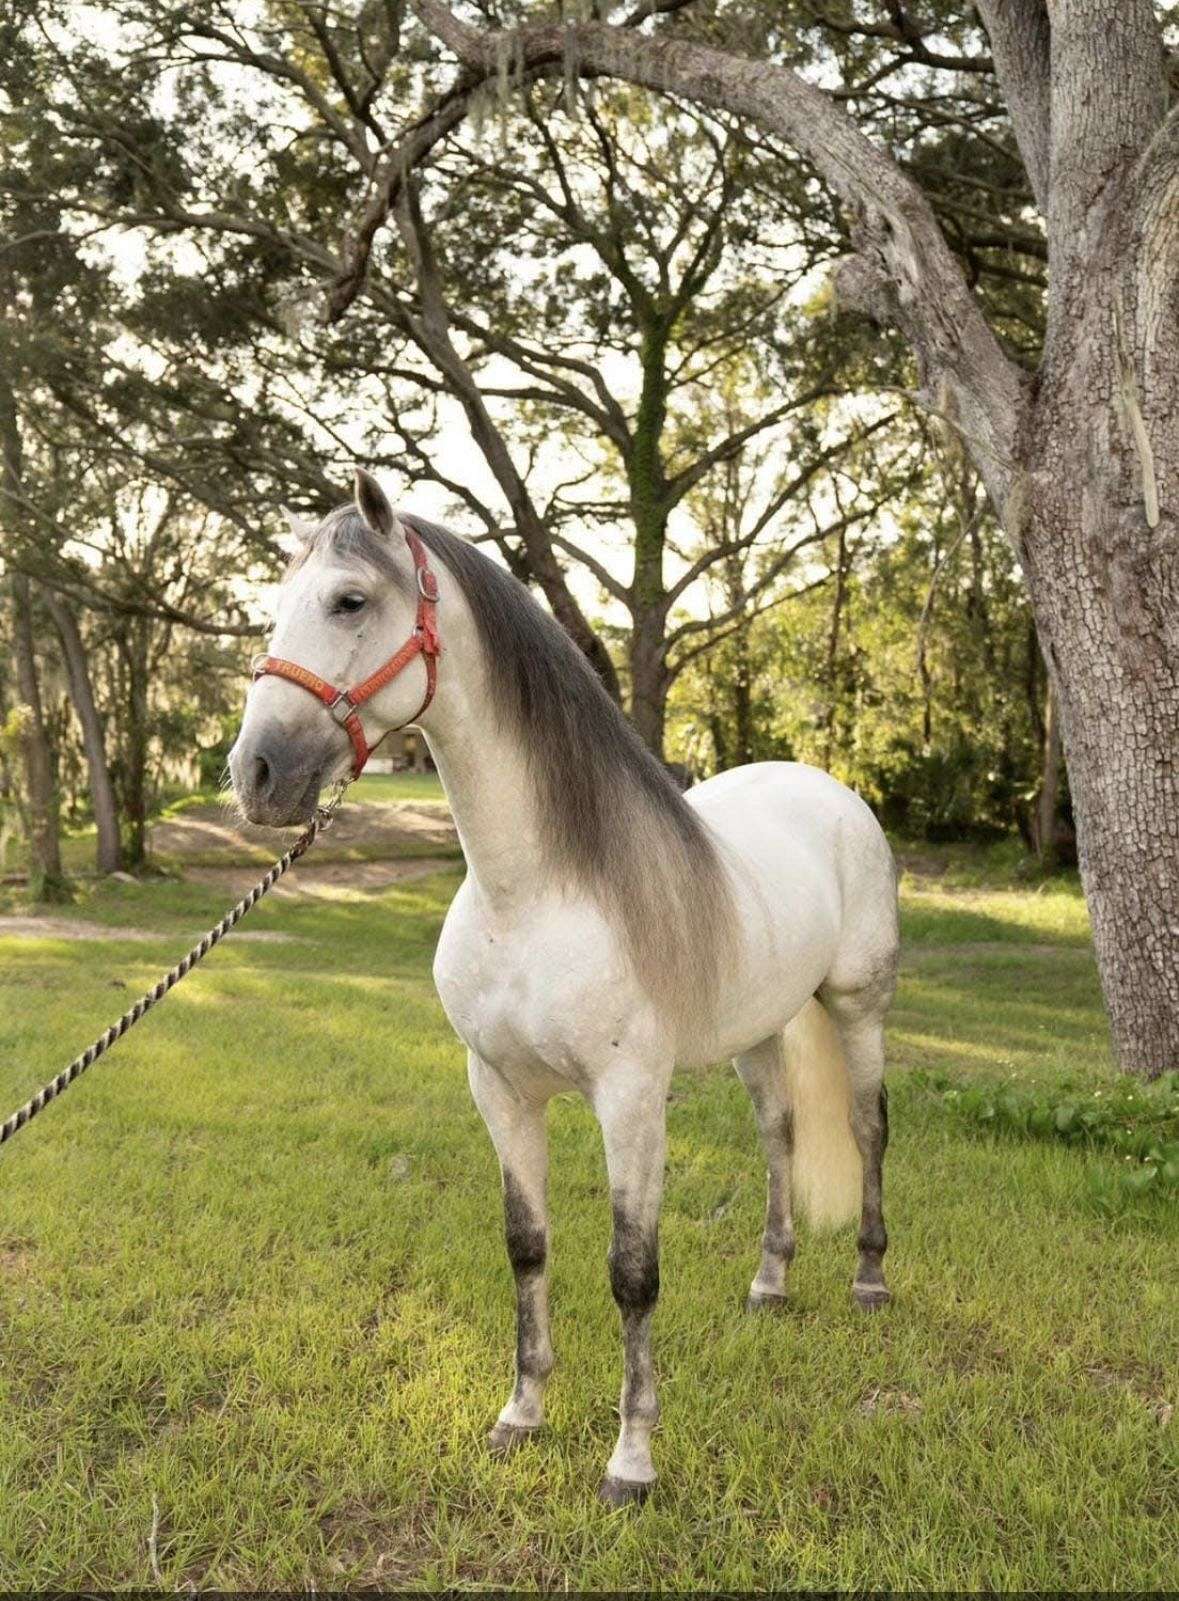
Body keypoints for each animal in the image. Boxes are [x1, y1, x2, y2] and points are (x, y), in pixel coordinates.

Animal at [229, 468, 899, 1506]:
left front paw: (631, 1459)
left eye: (349, 600)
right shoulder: (500, 1089)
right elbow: (528, 1245)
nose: (256, 774)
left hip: (857, 1003)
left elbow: (632, 1271)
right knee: (779, 1136)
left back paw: (867, 1280)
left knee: (867, 1127)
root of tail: (828, 788)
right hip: (759, 1031)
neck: (535, 892)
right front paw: (521, 1413)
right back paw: (769, 1283)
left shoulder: (628, 1100)